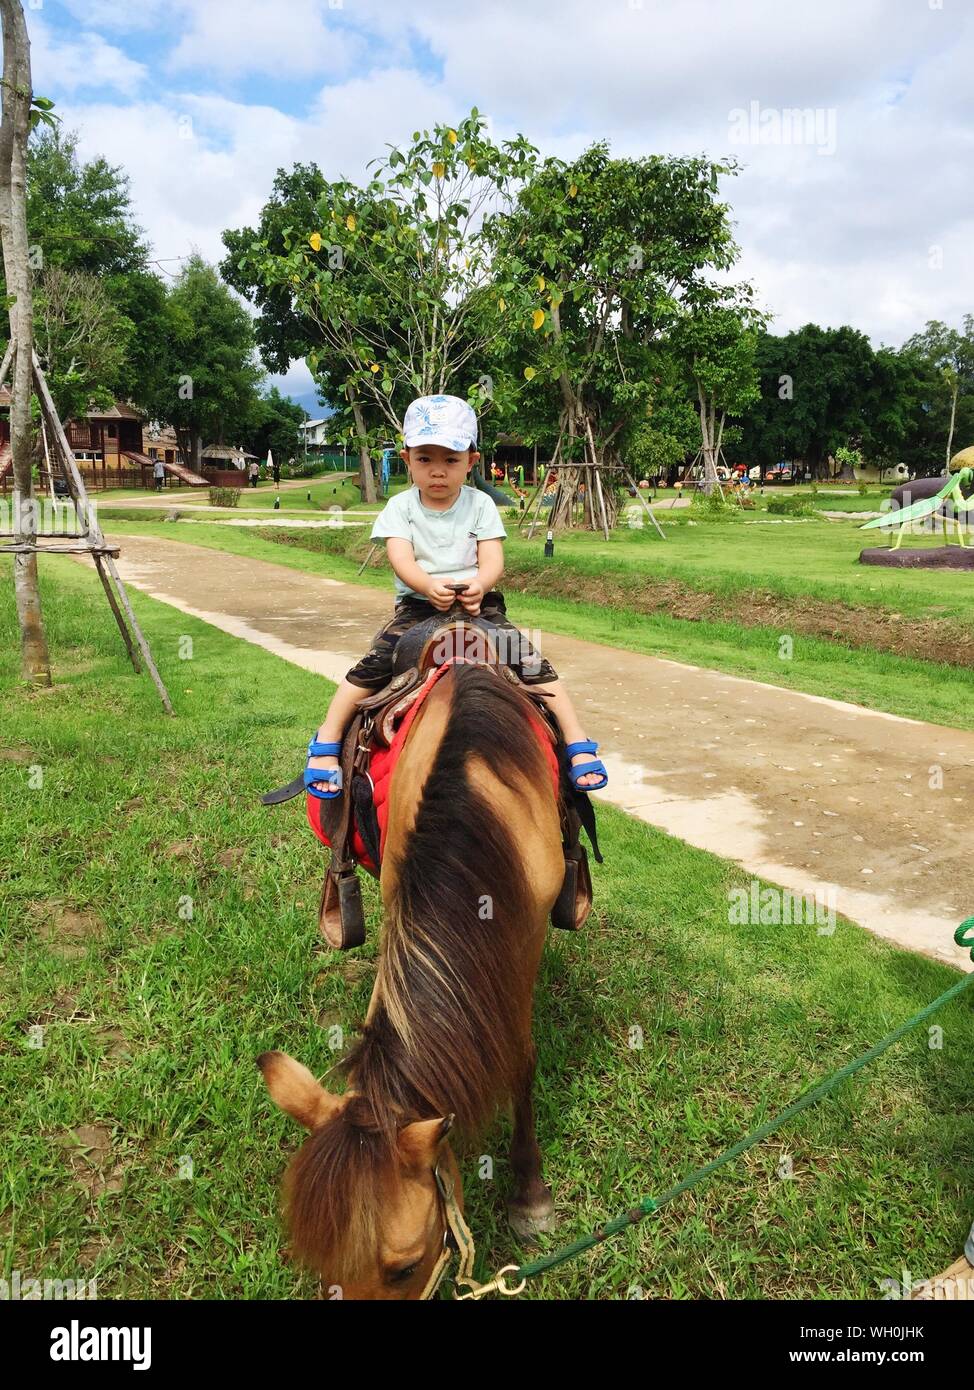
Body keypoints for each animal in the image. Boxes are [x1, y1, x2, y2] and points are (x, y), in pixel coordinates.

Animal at [258, 659, 567, 1299]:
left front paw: (529, 1195)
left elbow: (521, 1059)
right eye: (321, 1263)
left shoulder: (526, 936)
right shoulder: (398, 900)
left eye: (403, 1266)